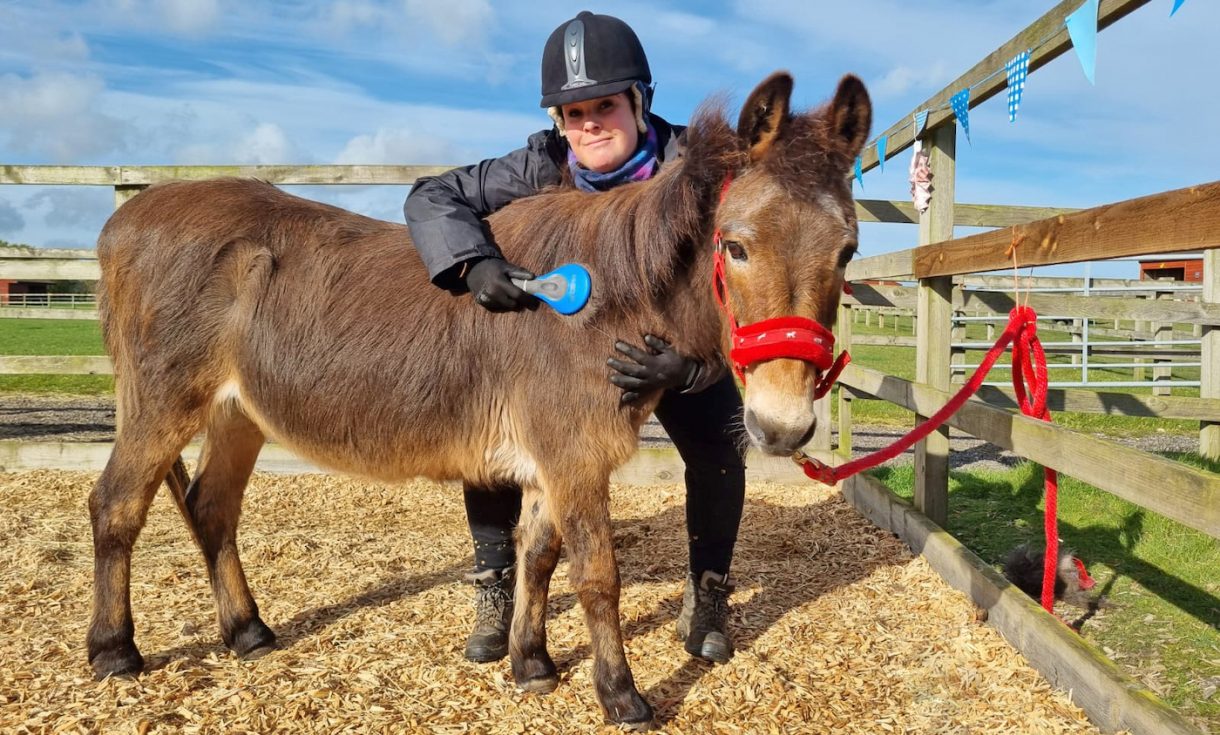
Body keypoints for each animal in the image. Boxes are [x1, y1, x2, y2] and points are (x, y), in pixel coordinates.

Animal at [86, 71, 870, 728]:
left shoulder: (554, 461)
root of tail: (125, 219)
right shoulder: (575, 458)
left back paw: (248, 632)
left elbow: (539, 555)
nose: (783, 425)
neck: (607, 298)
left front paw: (533, 663)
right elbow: (597, 575)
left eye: (848, 251)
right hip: (164, 402)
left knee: (213, 507)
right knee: (116, 506)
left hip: (237, 413)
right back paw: (115, 650)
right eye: (735, 247)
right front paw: (621, 696)